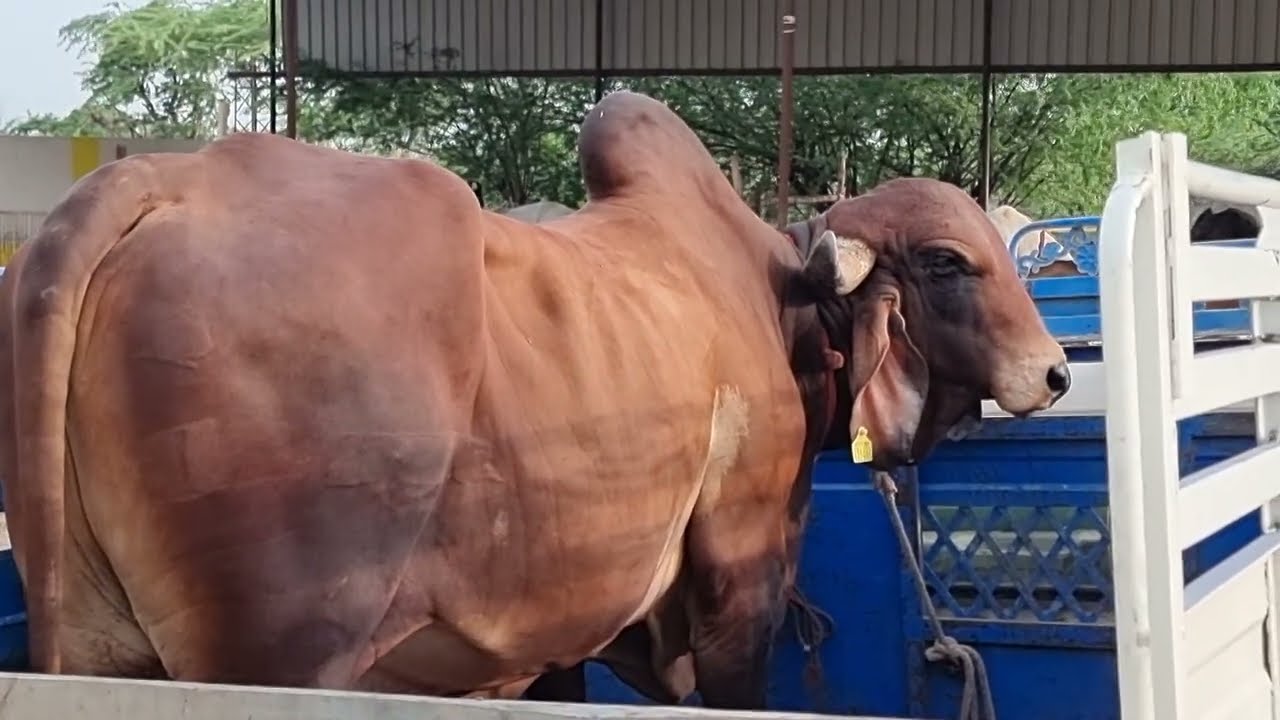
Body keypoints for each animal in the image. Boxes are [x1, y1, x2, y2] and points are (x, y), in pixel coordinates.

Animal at [0, 90, 1068, 709]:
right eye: (947, 261)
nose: (1058, 370)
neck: (779, 301)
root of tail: (160, 181)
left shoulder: (560, 623)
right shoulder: (741, 584)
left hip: (96, 637)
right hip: (279, 651)